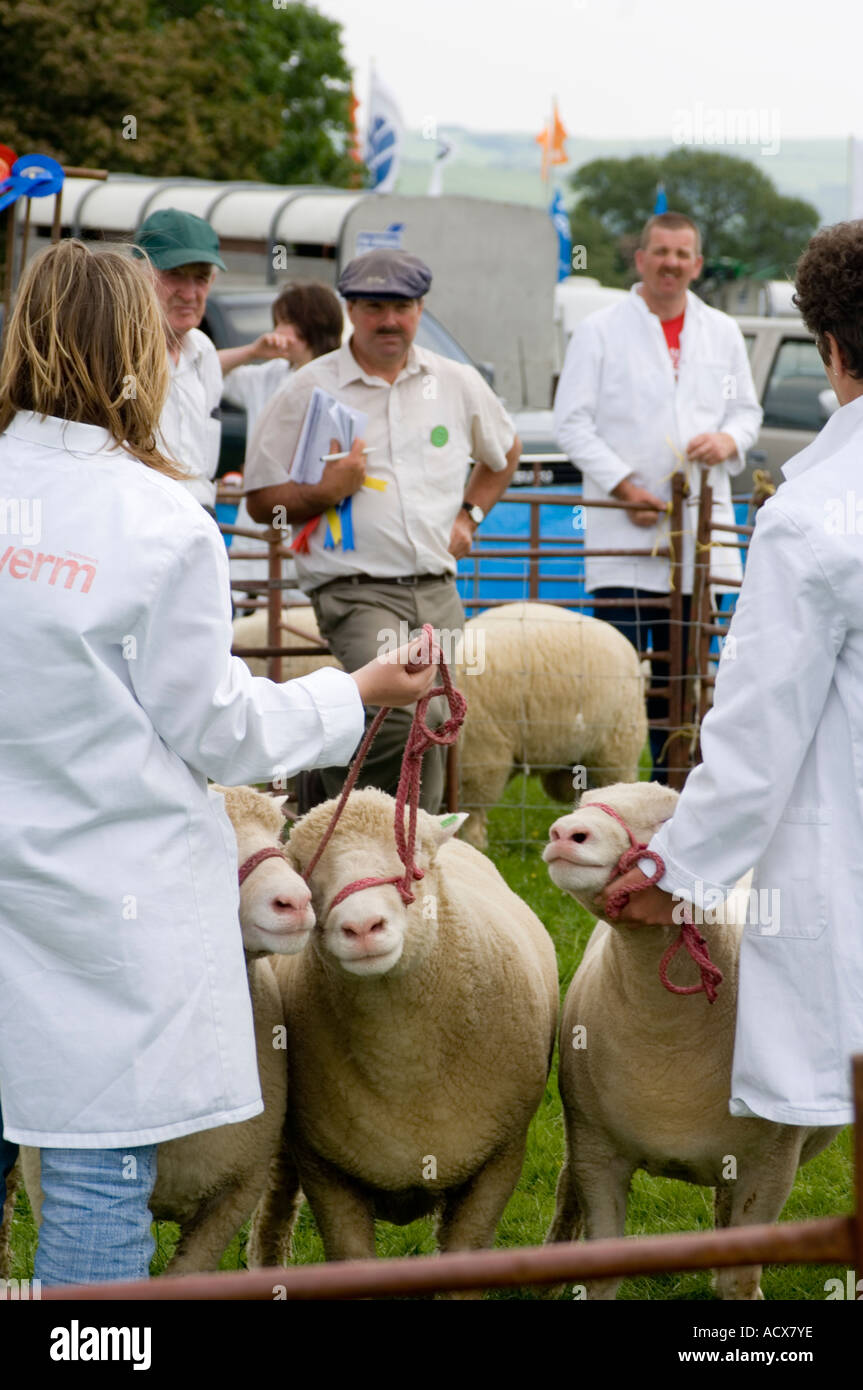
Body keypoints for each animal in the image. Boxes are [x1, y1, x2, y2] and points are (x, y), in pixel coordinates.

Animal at [248, 787, 559, 1292]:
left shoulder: (499, 1160)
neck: (404, 1063)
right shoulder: (326, 1170)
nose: (361, 928)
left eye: (415, 864)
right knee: (275, 1204)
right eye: (306, 870)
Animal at [541, 781, 842, 1300]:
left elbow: (741, 1278)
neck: (668, 1040)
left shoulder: (772, 1167)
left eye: (670, 820)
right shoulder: (597, 1153)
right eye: (586, 802)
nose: (565, 833)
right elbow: (603, 1269)